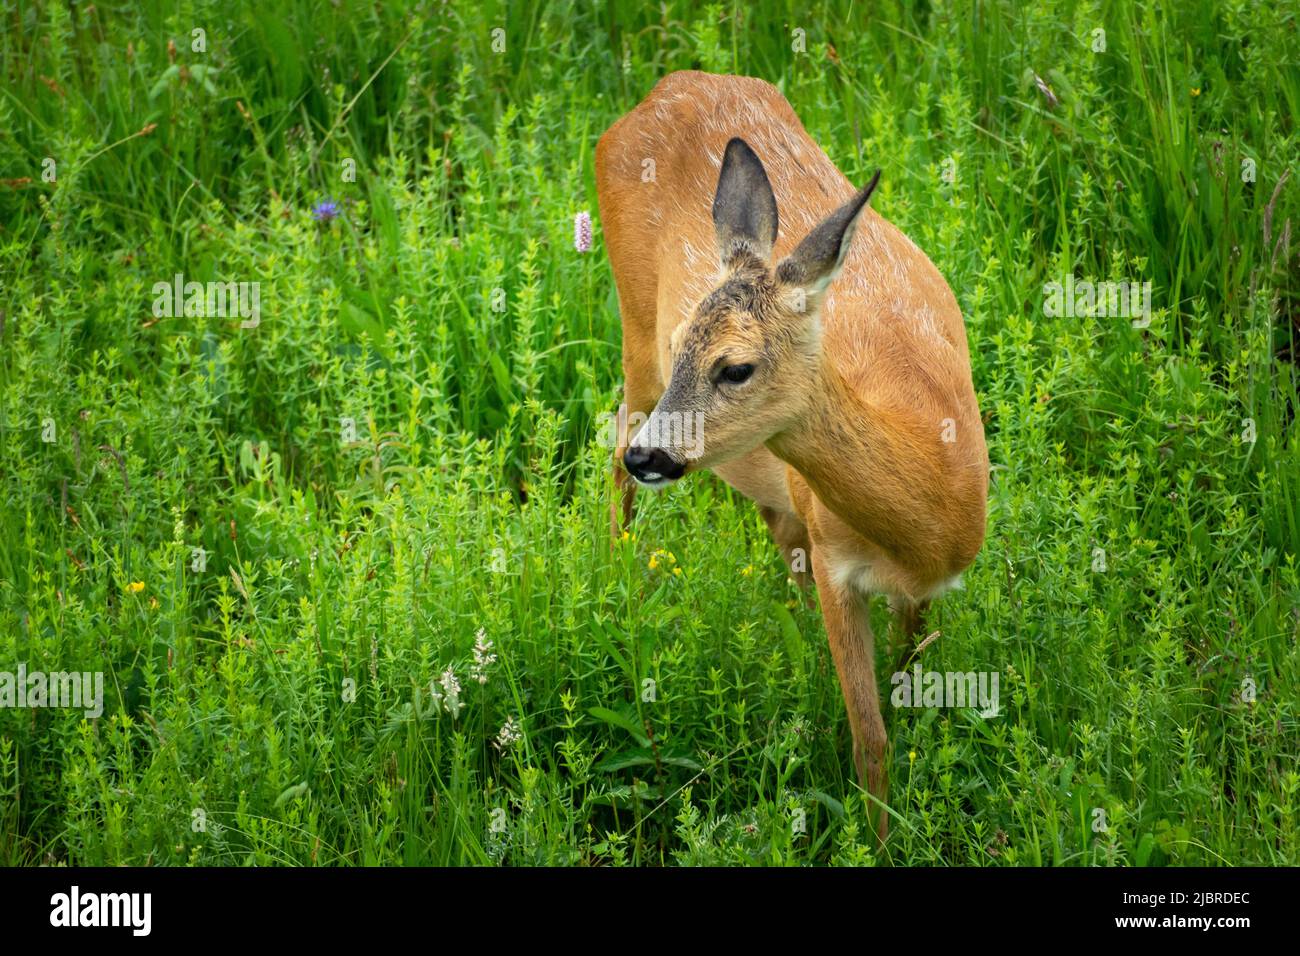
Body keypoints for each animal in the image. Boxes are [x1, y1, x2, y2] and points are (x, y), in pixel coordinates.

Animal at [594, 71, 988, 840]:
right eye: (683, 341)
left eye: (736, 367)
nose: (654, 457)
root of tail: (671, 83)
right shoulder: (840, 566)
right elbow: (871, 737)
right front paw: (877, 841)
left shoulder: (926, 586)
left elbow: (908, 681)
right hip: (632, 337)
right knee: (613, 442)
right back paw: (616, 582)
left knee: (773, 523)